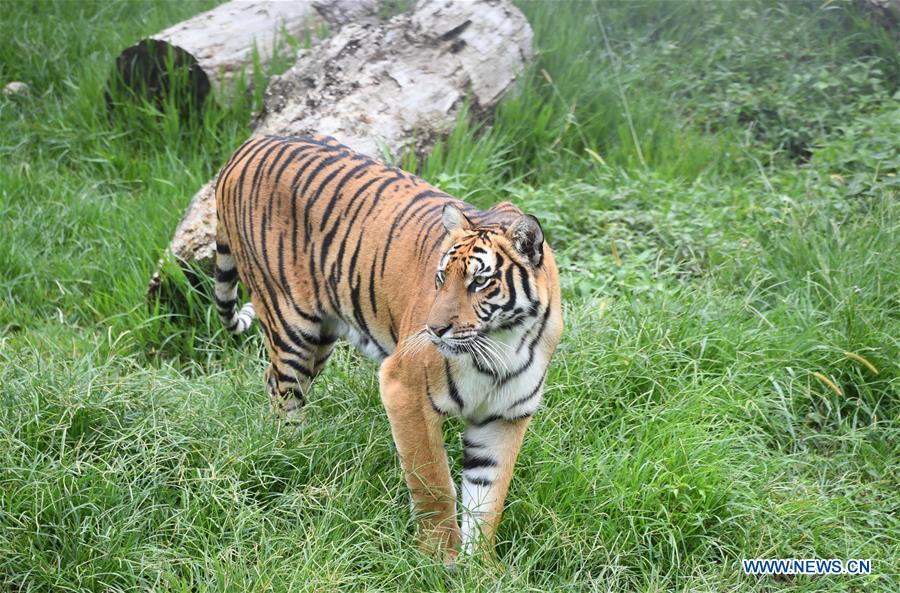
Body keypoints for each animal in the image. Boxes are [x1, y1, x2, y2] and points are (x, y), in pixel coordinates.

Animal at [213, 134, 563, 561]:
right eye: (441, 277)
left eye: (479, 282)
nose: (434, 329)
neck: (503, 344)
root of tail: (249, 144)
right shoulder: (404, 389)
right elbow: (433, 484)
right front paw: (439, 560)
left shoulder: (505, 417)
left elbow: (487, 500)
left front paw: (480, 565)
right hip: (291, 324)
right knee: (284, 395)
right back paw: (290, 454)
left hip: (322, 337)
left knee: (272, 380)